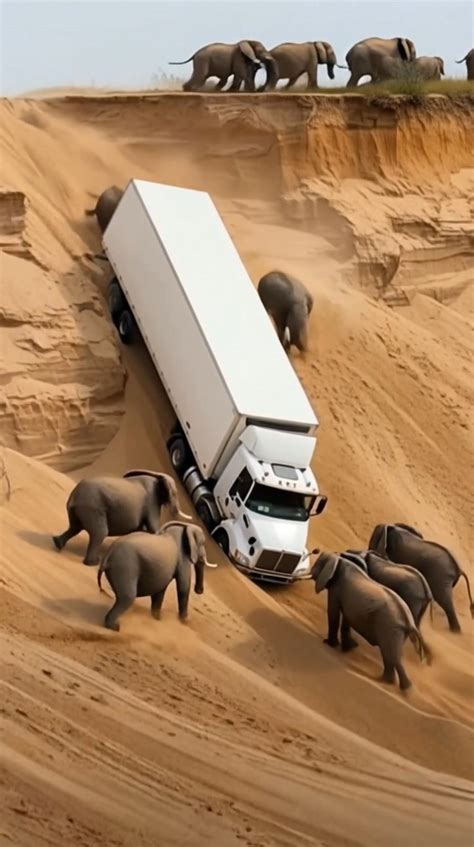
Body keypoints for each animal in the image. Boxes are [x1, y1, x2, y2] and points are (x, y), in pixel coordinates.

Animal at [53, 469, 192, 566]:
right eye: (174, 494)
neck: (156, 475)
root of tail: (74, 497)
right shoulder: (152, 502)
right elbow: (153, 528)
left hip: (81, 510)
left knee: (74, 528)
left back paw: (58, 544)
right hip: (92, 508)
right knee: (99, 533)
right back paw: (93, 563)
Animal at [311, 552, 432, 690]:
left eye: (317, 564)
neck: (339, 560)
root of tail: (409, 622)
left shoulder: (336, 588)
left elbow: (333, 613)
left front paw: (328, 643)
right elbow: (346, 618)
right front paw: (348, 648)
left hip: (389, 626)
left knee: (392, 656)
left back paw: (404, 689)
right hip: (395, 630)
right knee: (389, 654)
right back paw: (387, 682)